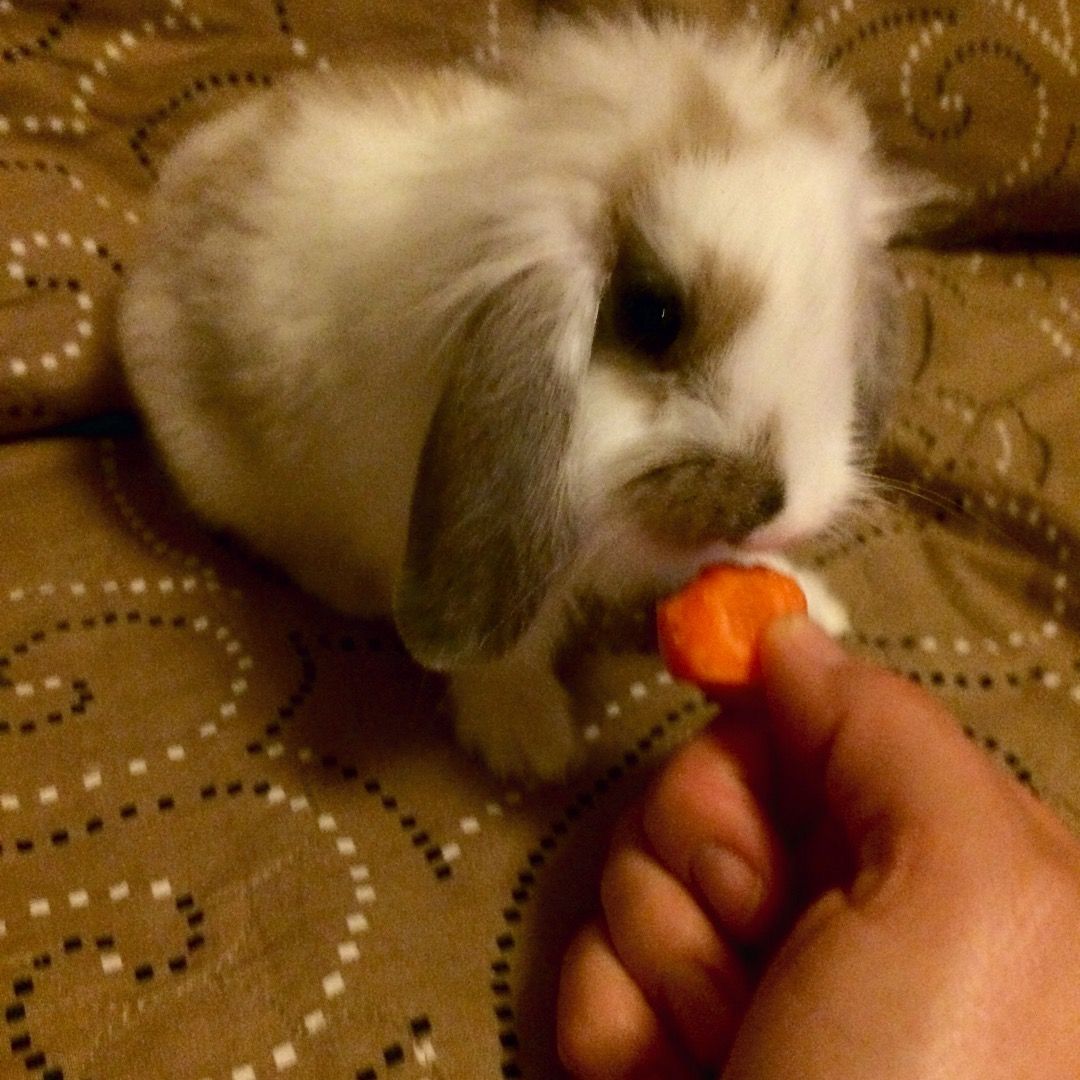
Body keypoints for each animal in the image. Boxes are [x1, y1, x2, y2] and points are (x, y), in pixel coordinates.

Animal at [118, 13, 927, 781]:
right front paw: (525, 738)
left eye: (839, 304)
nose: (779, 508)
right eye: (653, 316)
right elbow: (513, 647)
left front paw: (808, 601)